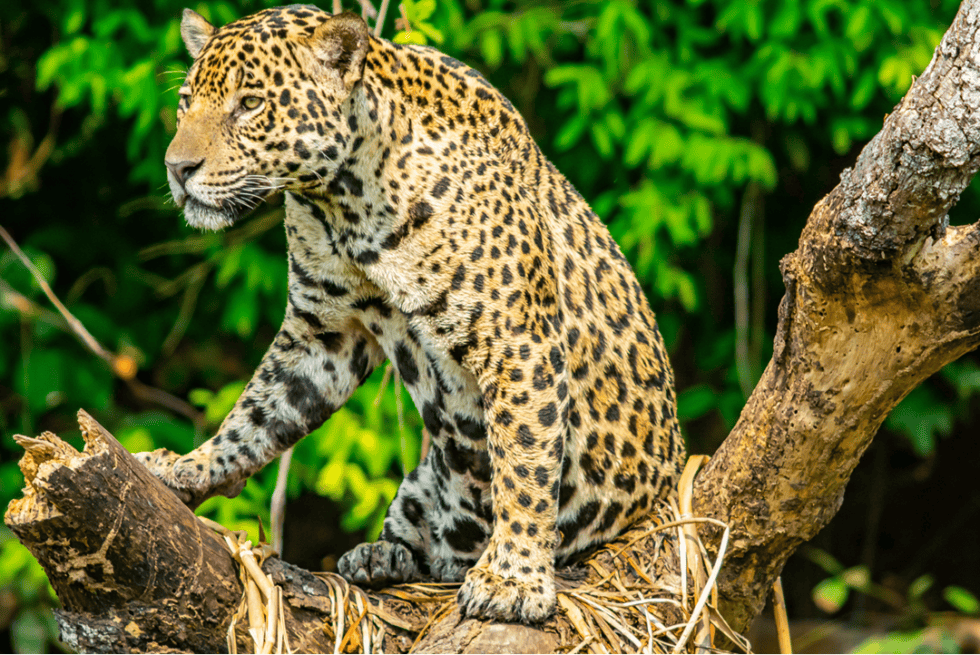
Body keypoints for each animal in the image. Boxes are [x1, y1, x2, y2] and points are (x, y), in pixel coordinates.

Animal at [137, 4, 686, 624]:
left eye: (250, 103)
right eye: (186, 101)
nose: (177, 168)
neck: (344, 205)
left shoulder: (519, 343)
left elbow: (524, 463)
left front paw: (513, 580)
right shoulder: (323, 333)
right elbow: (255, 413)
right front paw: (186, 466)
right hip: (425, 479)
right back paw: (379, 558)